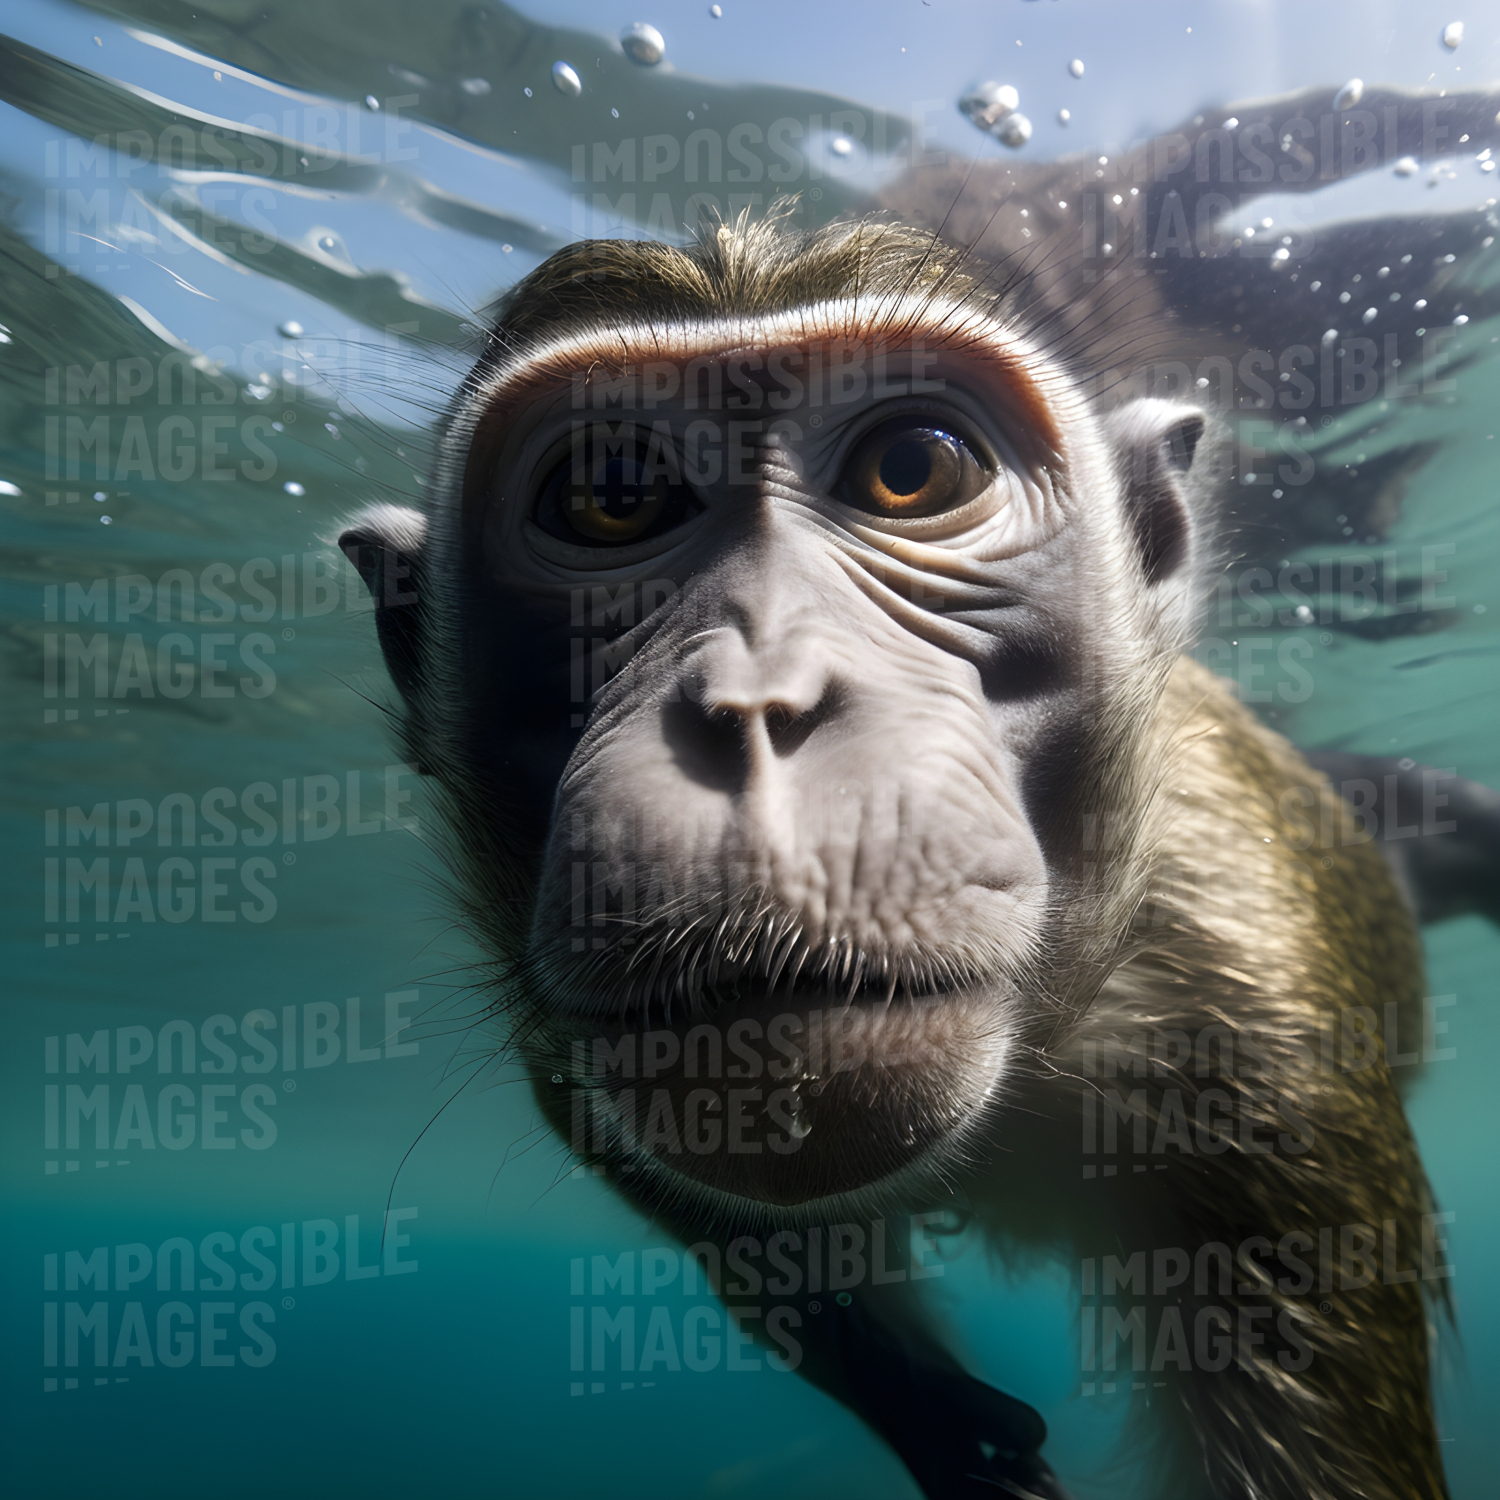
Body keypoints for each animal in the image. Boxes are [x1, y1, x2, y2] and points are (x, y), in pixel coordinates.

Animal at [338, 83, 1500, 1500]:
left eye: (916, 470)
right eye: (612, 495)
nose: (758, 707)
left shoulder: (1269, 1014)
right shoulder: (562, 1031)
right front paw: (942, 1419)